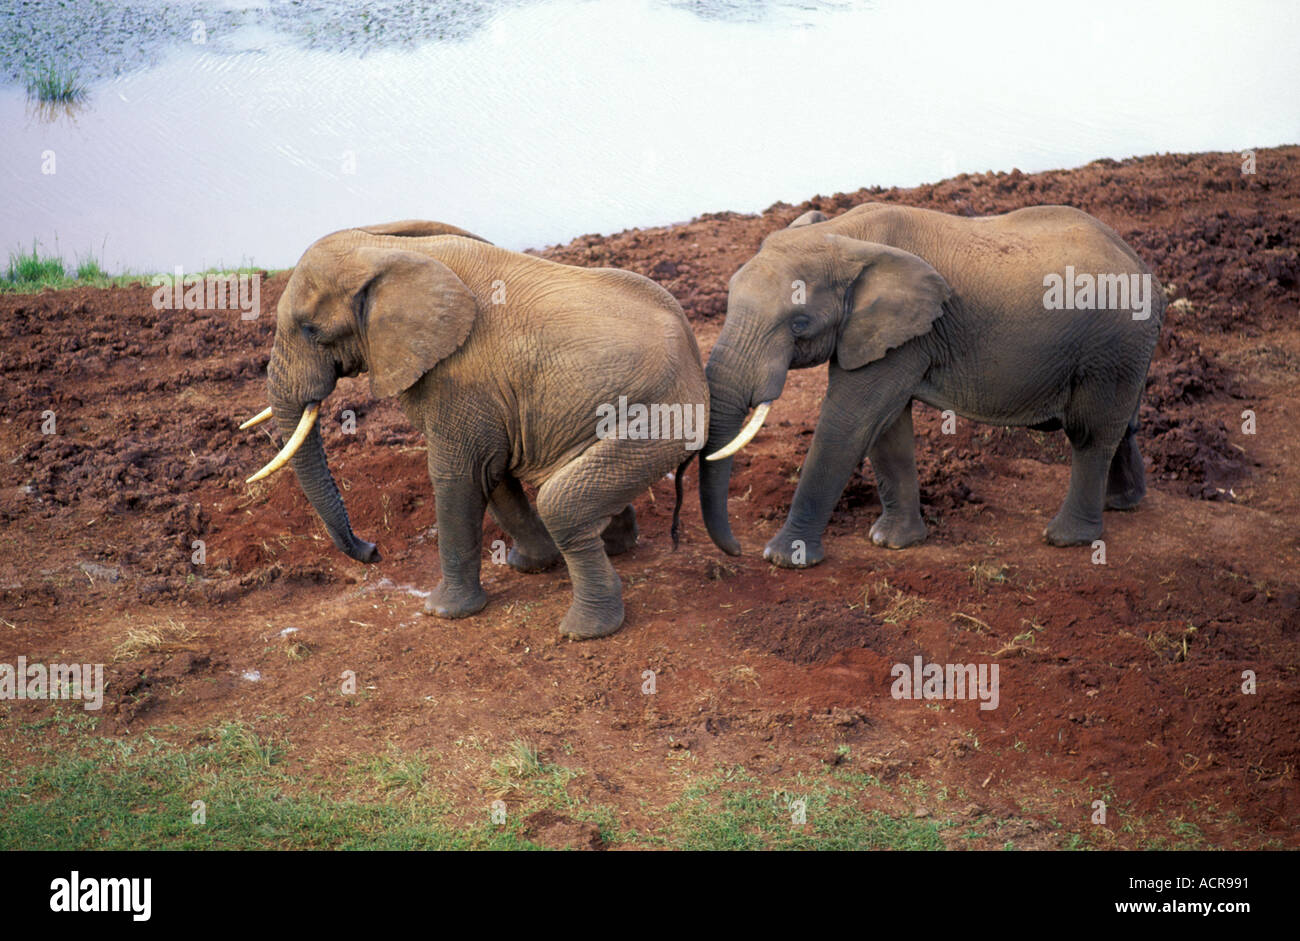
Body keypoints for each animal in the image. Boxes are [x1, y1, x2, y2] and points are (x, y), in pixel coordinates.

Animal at [240, 220, 708, 639]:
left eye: (311, 331)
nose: (373, 551)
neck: (383, 249)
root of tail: (693, 354)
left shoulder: (460, 375)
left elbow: (460, 474)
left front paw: (443, 612)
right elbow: (491, 470)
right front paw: (530, 566)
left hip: (663, 415)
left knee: (562, 502)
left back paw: (584, 630)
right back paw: (615, 546)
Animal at [699, 202, 1165, 568]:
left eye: (798, 324)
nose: (737, 551)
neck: (845, 236)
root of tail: (1147, 271)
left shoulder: (907, 332)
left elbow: (851, 421)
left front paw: (784, 559)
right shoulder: (894, 335)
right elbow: (885, 428)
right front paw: (892, 543)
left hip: (1112, 343)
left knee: (1090, 433)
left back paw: (1067, 538)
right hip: (1122, 351)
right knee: (1122, 425)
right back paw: (1121, 503)